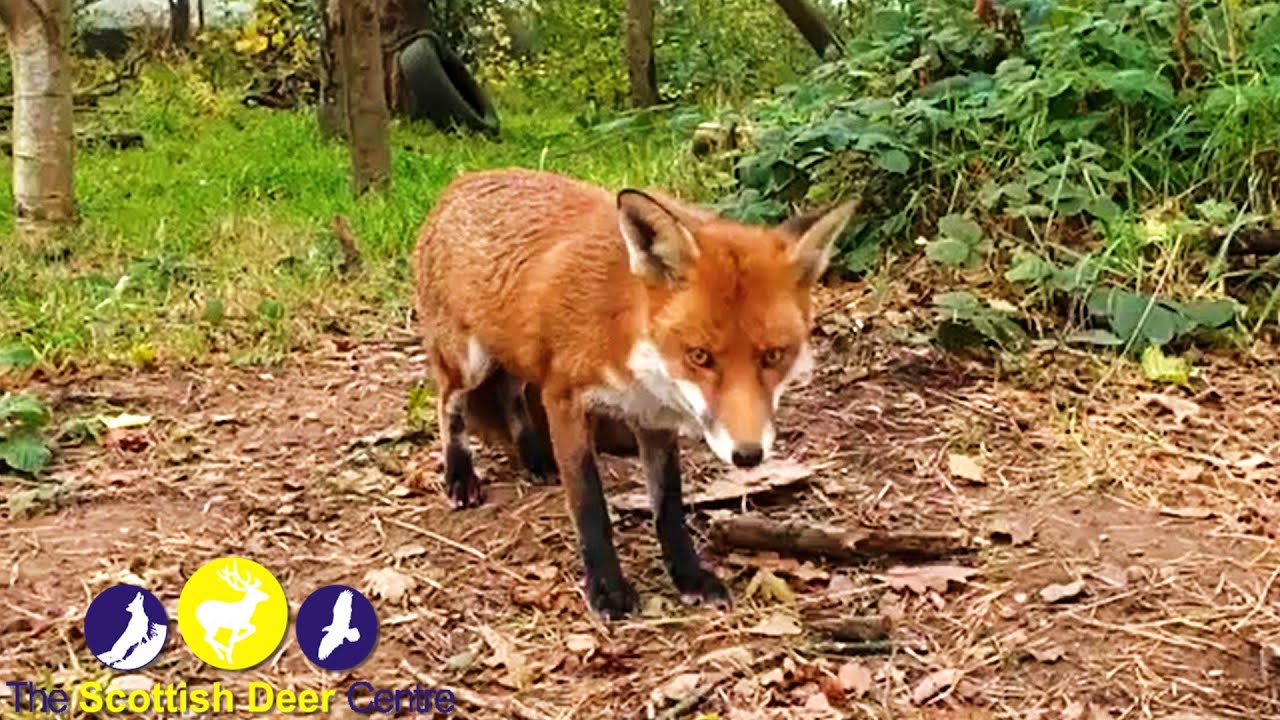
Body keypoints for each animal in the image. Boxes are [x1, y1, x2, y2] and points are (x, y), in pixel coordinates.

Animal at [411, 167, 856, 618]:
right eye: (699, 356)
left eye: (773, 356)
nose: (747, 455)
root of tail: (463, 180)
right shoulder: (563, 400)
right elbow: (590, 506)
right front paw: (607, 588)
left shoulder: (653, 419)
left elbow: (669, 507)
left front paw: (688, 575)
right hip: (469, 363)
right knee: (449, 404)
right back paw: (460, 476)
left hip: (516, 353)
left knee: (509, 391)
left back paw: (535, 457)